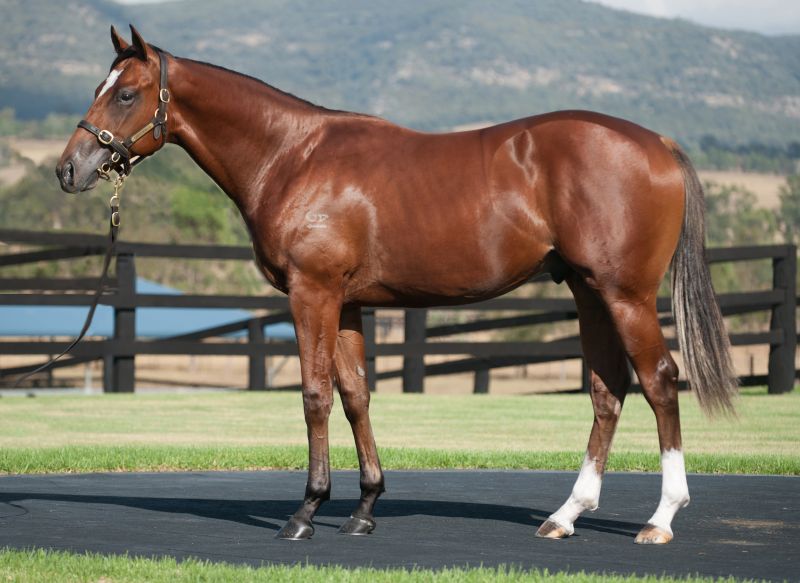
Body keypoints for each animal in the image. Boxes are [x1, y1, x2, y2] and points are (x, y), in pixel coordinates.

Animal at [56, 25, 737, 545]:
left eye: (127, 94)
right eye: (99, 89)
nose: (69, 169)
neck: (293, 156)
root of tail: (659, 143)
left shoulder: (313, 294)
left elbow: (315, 396)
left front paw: (306, 512)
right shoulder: (349, 304)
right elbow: (357, 396)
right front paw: (363, 510)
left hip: (625, 296)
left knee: (659, 381)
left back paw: (660, 519)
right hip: (588, 292)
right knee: (607, 390)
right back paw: (565, 516)